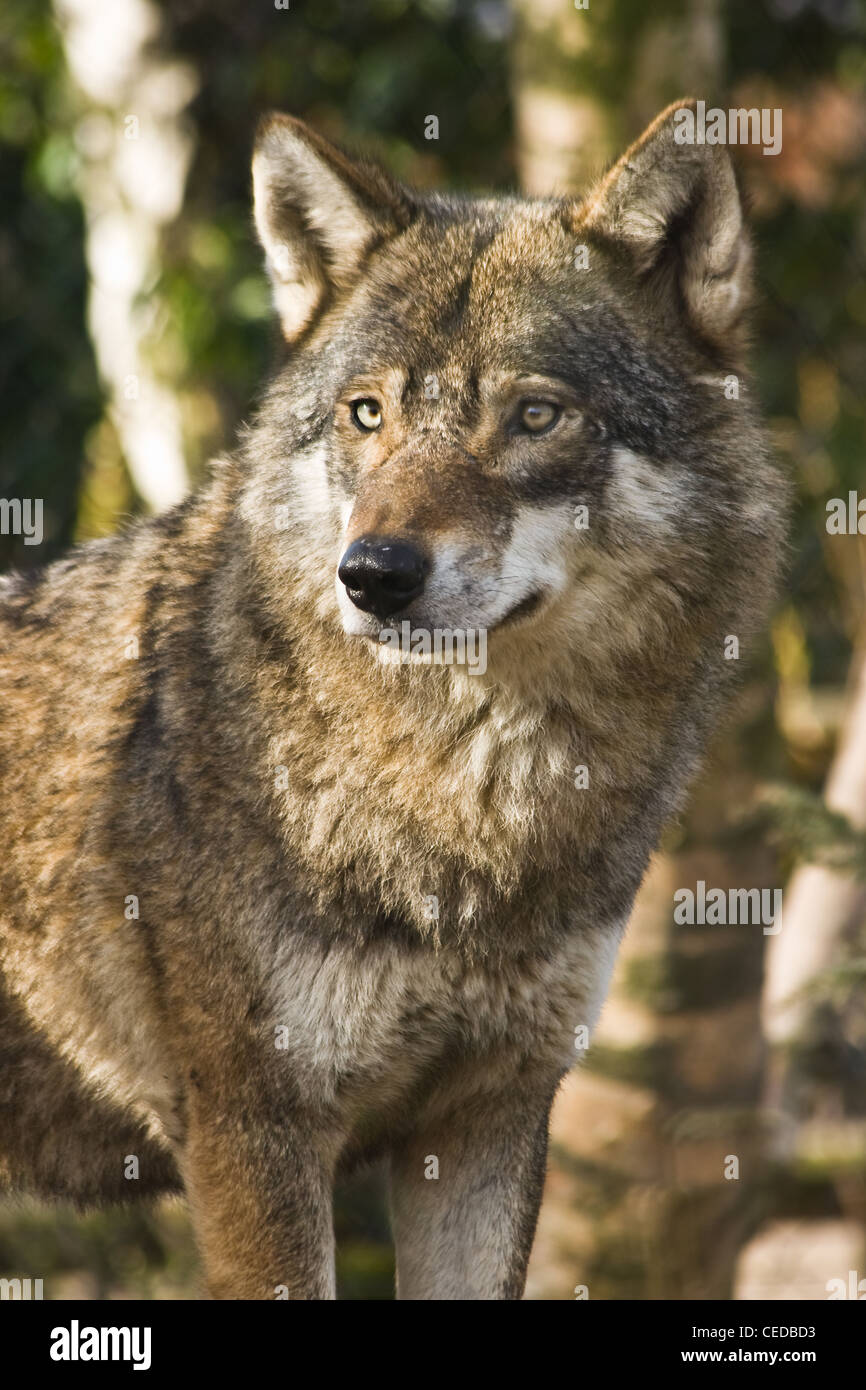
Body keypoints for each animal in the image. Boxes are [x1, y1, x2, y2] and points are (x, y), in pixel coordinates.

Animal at [0, 101, 786, 1299]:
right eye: (365, 414)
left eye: (534, 416)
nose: (372, 574)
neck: (468, 803)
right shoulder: (252, 1131)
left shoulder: (487, 1120)